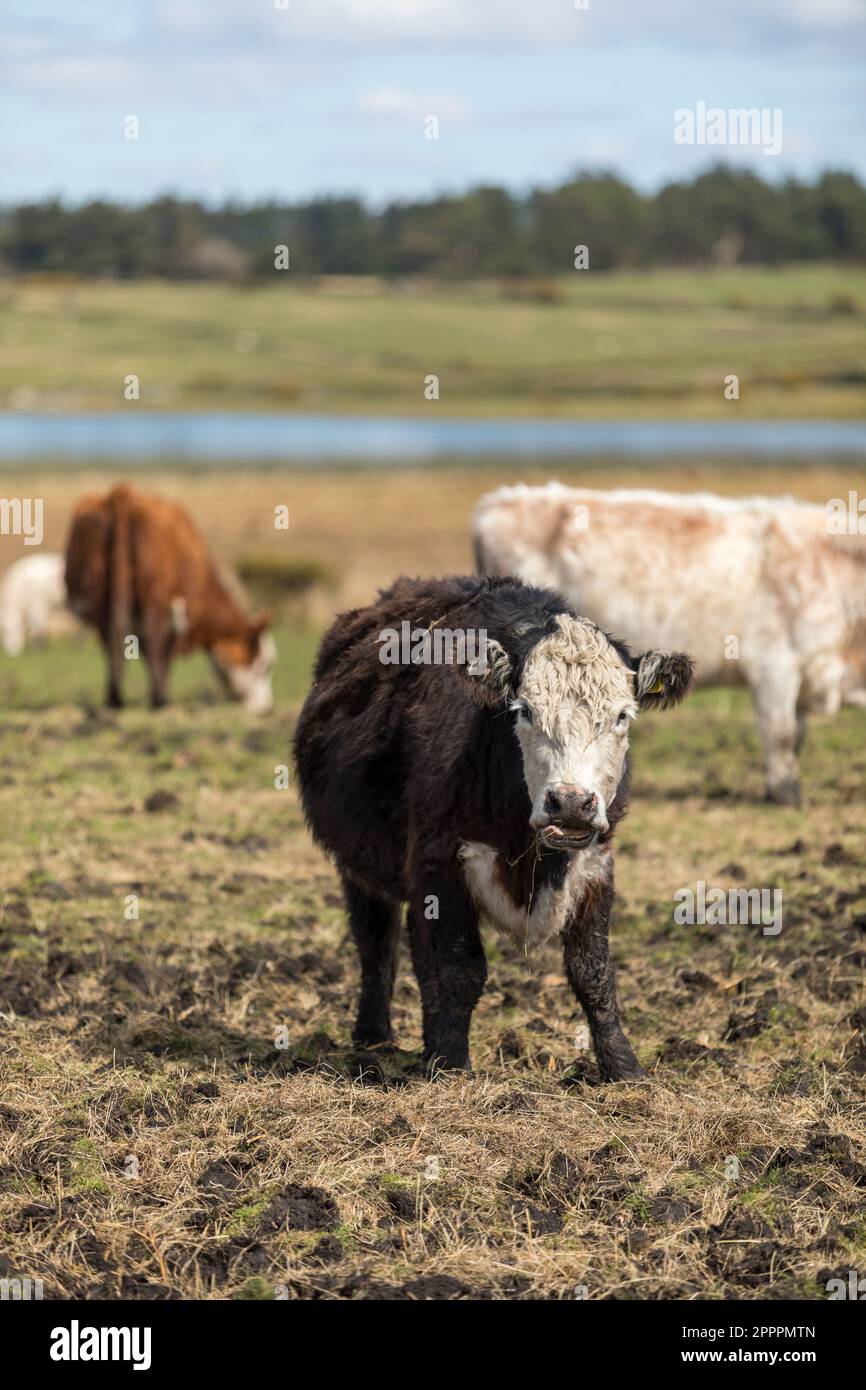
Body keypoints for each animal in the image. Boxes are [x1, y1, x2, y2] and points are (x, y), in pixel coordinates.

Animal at [65, 485, 275, 712]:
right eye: (264, 665)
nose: (266, 708)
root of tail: (123, 493)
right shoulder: (177, 612)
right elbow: (162, 651)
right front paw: (160, 695)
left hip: (101, 601)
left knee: (110, 640)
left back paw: (115, 699)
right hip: (154, 598)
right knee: (150, 638)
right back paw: (159, 699)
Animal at [294, 574, 693, 1080]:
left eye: (622, 715)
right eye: (524, 711)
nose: (571, 802)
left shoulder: (597, 863)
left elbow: (593, 971)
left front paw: (622, 1066)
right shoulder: (442, 859)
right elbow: (460, 968)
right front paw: (451, 1064)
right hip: (360, 866)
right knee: (376, 942)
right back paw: (374, 1036)